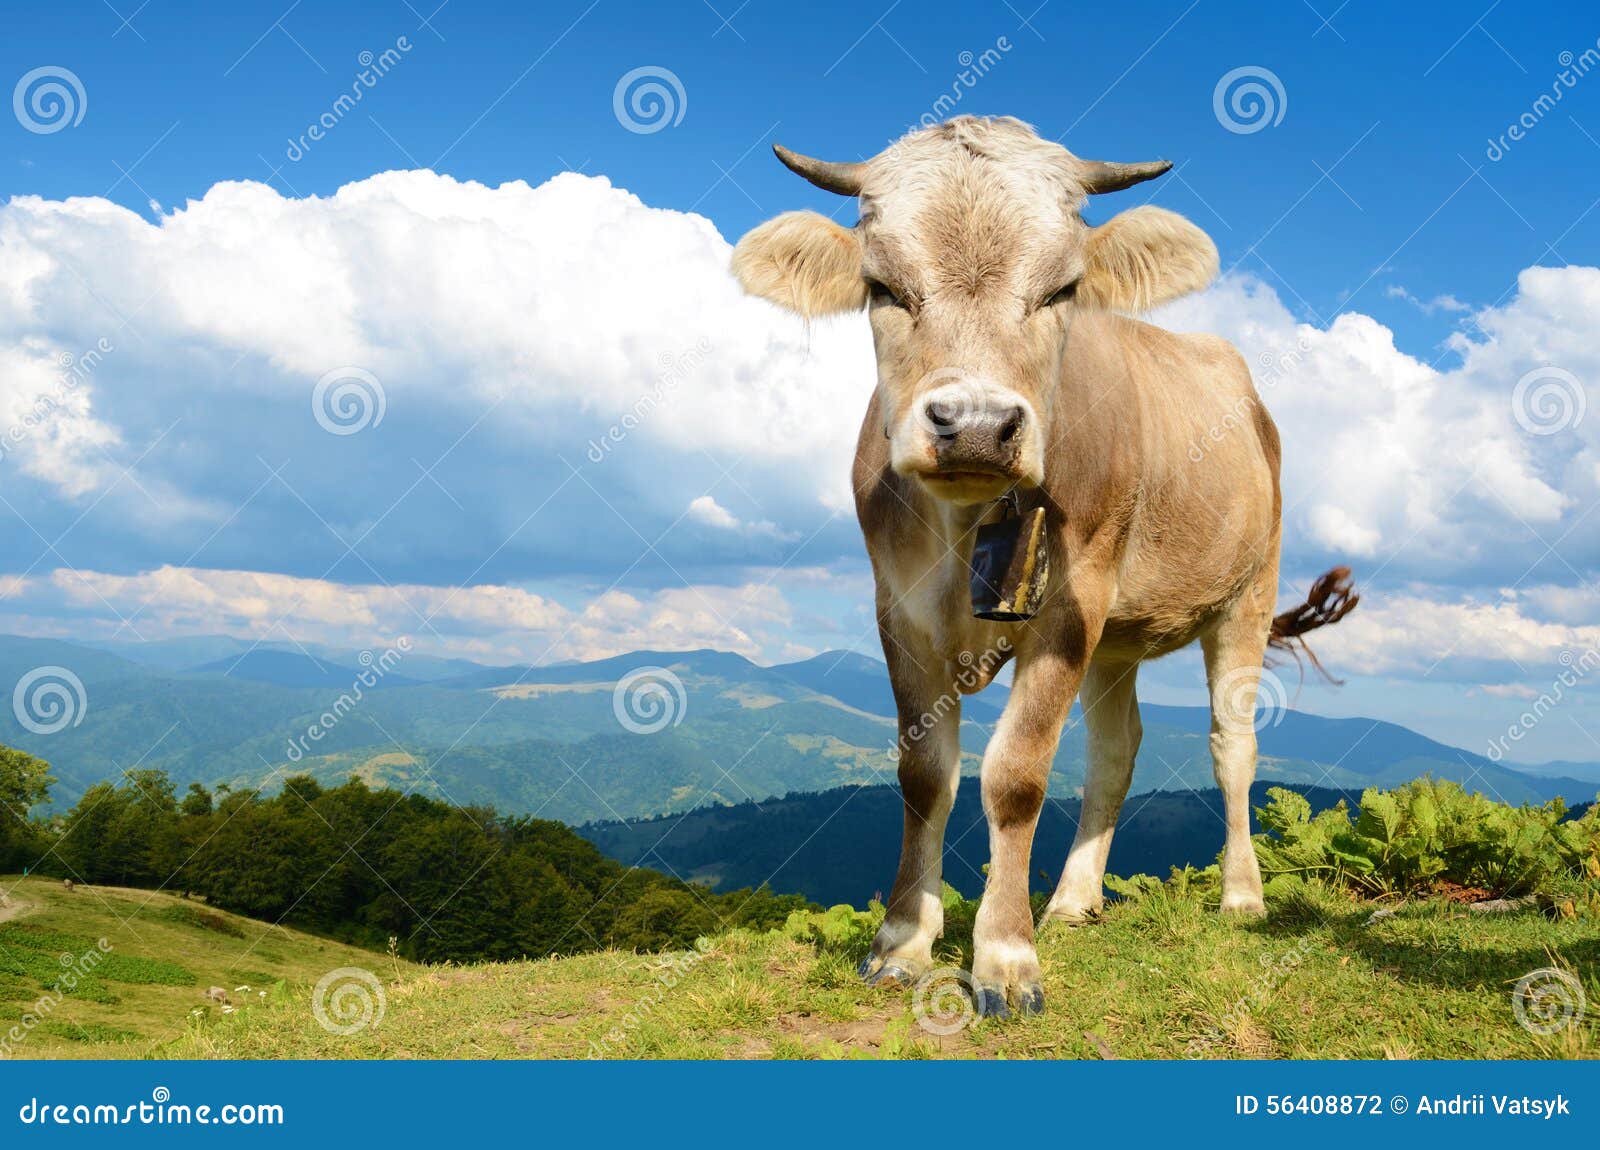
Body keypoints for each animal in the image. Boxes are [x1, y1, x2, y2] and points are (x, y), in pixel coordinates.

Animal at [731, 116, 1355, 1018]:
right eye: (883, 288)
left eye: (1062, 291)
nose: (975, 425)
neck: (965, 523)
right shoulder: (897, 607)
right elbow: (924, 773)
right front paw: (902, 943)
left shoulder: (1071, 601)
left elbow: (1017, 774)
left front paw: (1005, 957)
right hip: (1119, 636)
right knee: (1116, 749)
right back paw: (1071, 900)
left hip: (1246, 589)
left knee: (1231, 743)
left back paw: (1241, 895)